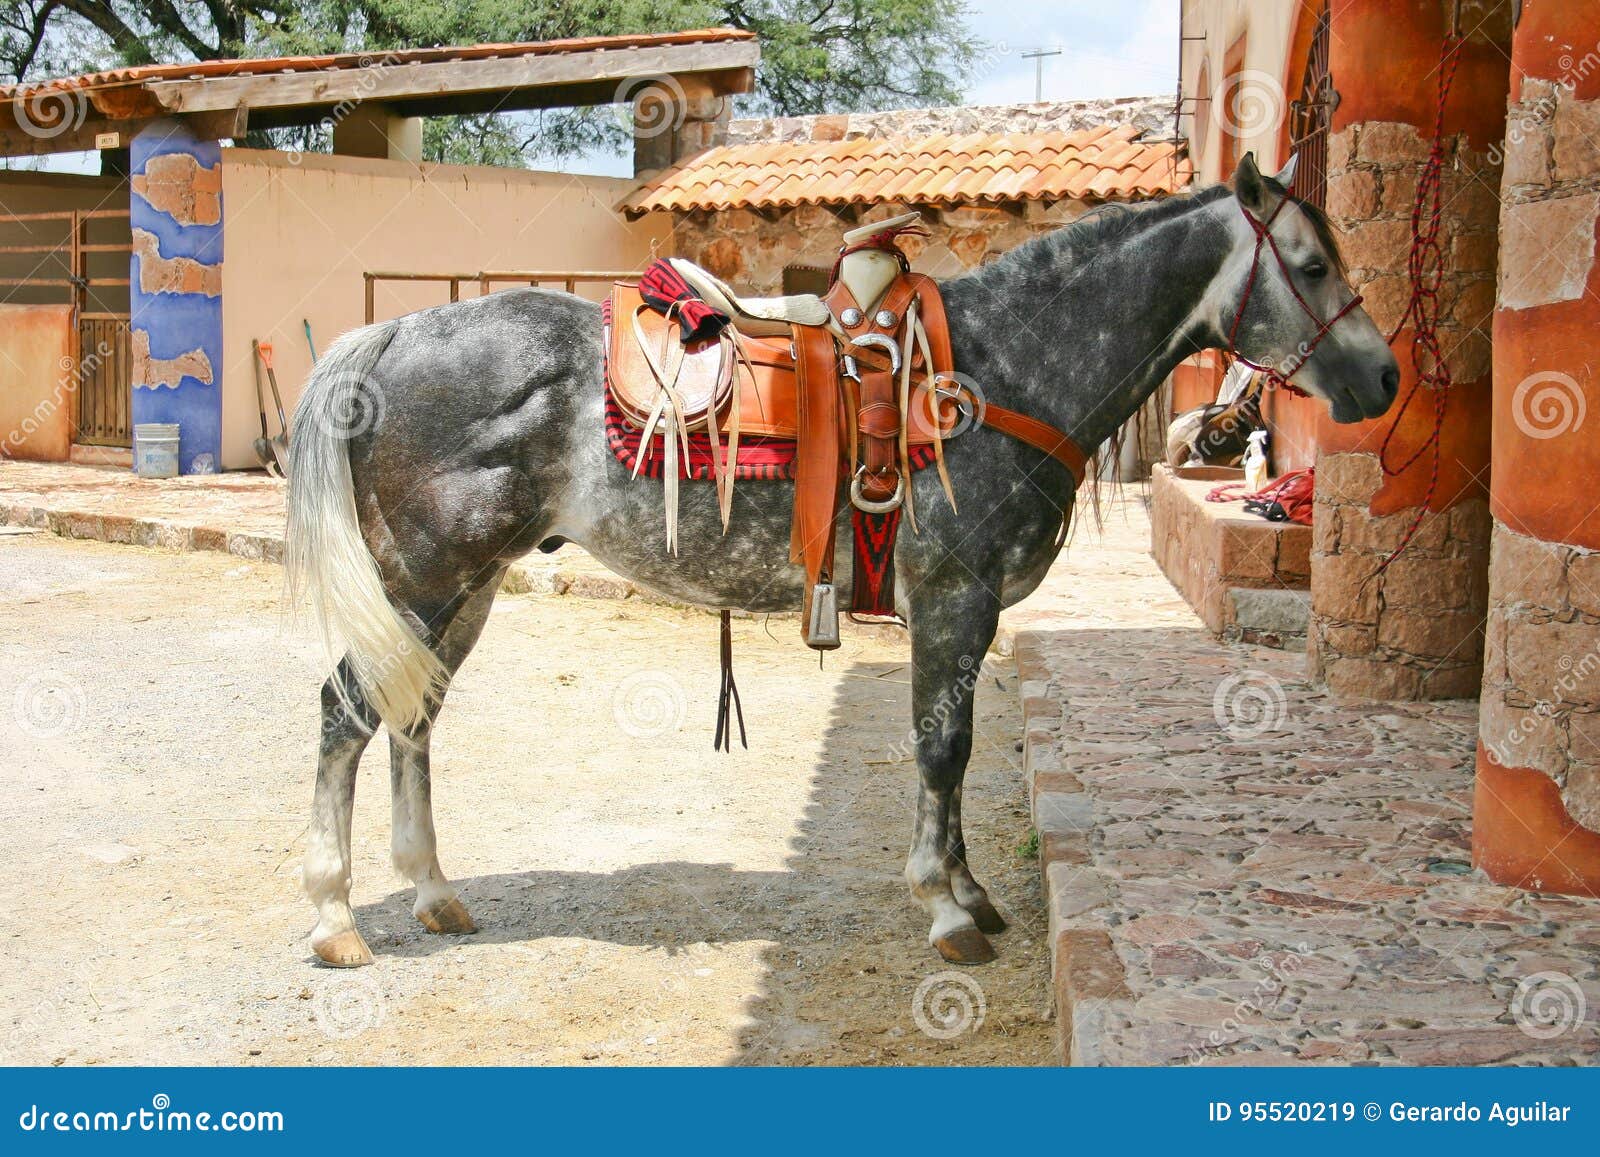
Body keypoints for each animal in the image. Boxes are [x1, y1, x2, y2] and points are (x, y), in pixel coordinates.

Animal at [284, 154, 1400, 968]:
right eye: (1309, 265)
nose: (1387, 376)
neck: (996, 372)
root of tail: (391, 334)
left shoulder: (970, 613)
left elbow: (953, 748)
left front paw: (970, 891)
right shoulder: (953, 598)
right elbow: (941, 750)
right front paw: (945, 910)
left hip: (463, 586)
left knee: (413, 712)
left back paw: (434, 892)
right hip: (425, 576)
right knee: (345, 710)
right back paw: (335, 918)